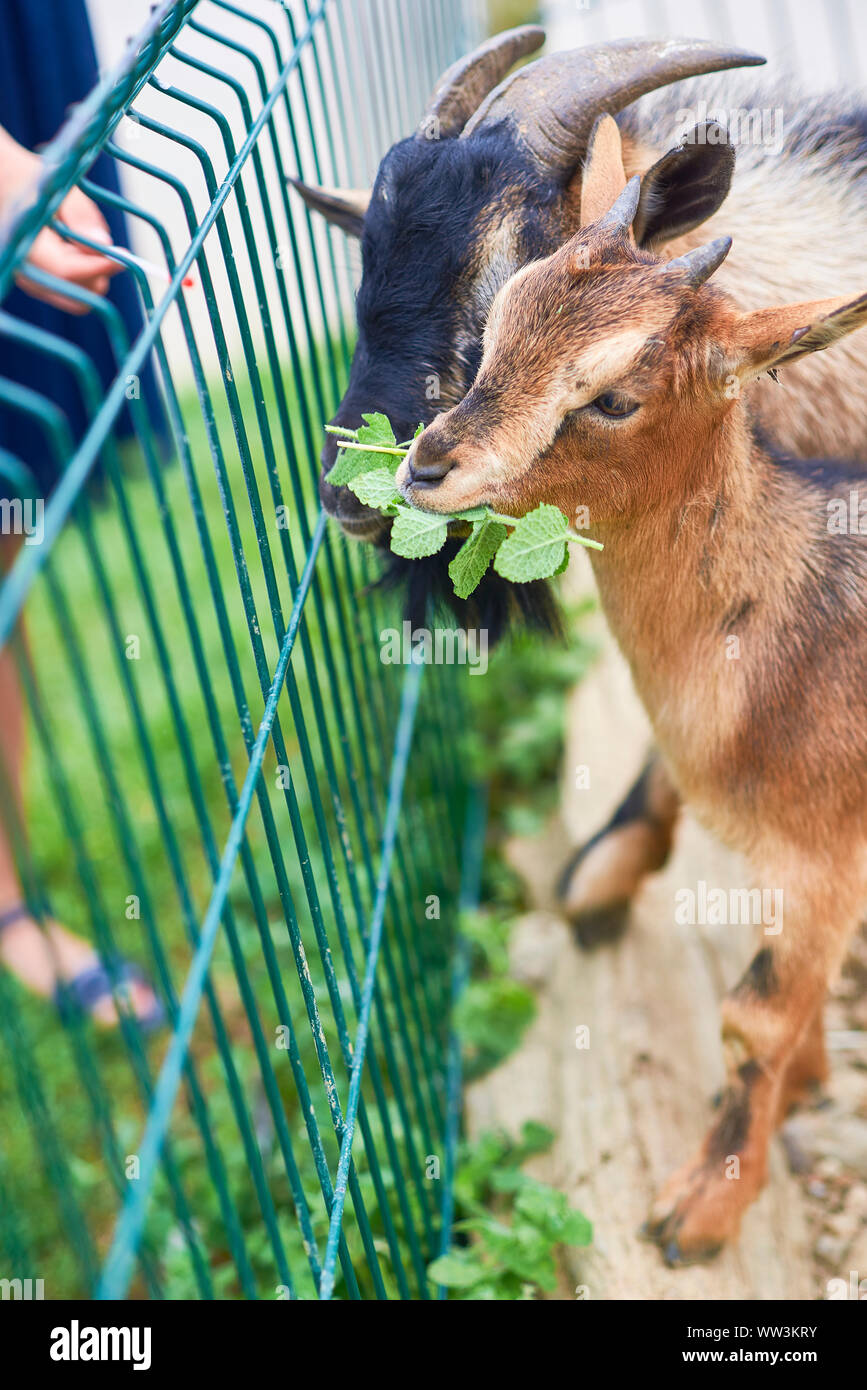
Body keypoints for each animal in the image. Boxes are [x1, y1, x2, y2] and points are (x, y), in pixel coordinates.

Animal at [393, 116, 867, 1263]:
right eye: (502, 318)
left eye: (613, 397)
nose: (426, 464)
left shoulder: (830, 858)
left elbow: (753, 1017)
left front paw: (698, 1208)